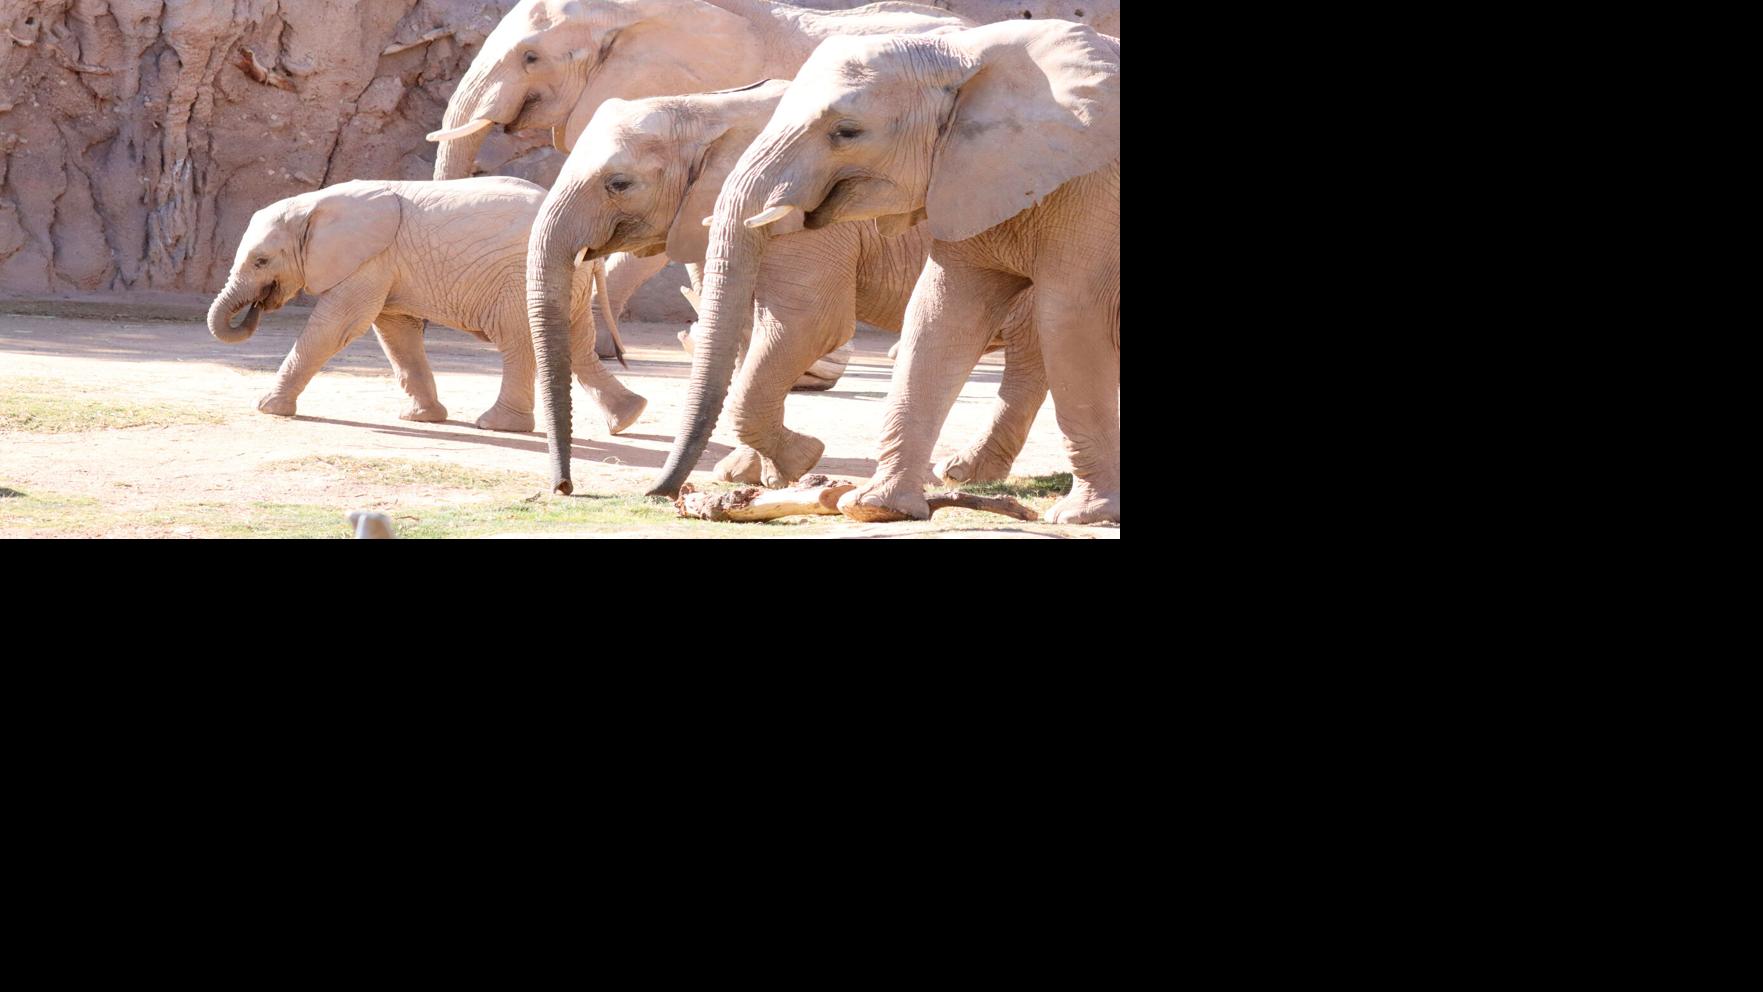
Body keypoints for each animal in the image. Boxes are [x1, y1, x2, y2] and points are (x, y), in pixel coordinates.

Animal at [207, 178, 646, 437]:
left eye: (261, 261)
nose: (259, 304)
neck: (313, 204)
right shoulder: (386, 264)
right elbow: (395, 332)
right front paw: (421, 419)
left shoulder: (370, 260)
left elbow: (338, 325)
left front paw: (268, 408)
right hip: (568, 282)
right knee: (576, 344)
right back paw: (628, 417)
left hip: (519, 279)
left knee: (518, 340)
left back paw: (497, 426)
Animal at [542, 82, 1047, 496]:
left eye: (619, 184)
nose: (566, 488)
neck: (707, 109)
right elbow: (742, 334)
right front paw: (745, 474)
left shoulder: (807, 210)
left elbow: (804, 327)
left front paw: (799, 462)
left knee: (1029, 351)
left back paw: (961, 473)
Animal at [654, 18, 1118, 523]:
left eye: (847, 132)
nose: (663, 494)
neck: (962, 56)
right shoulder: (966, 176)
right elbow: (941, 314)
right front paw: (875, 506)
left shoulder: (1091, 192)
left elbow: (1070, 321)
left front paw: (1082, 516)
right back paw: (959, 473)